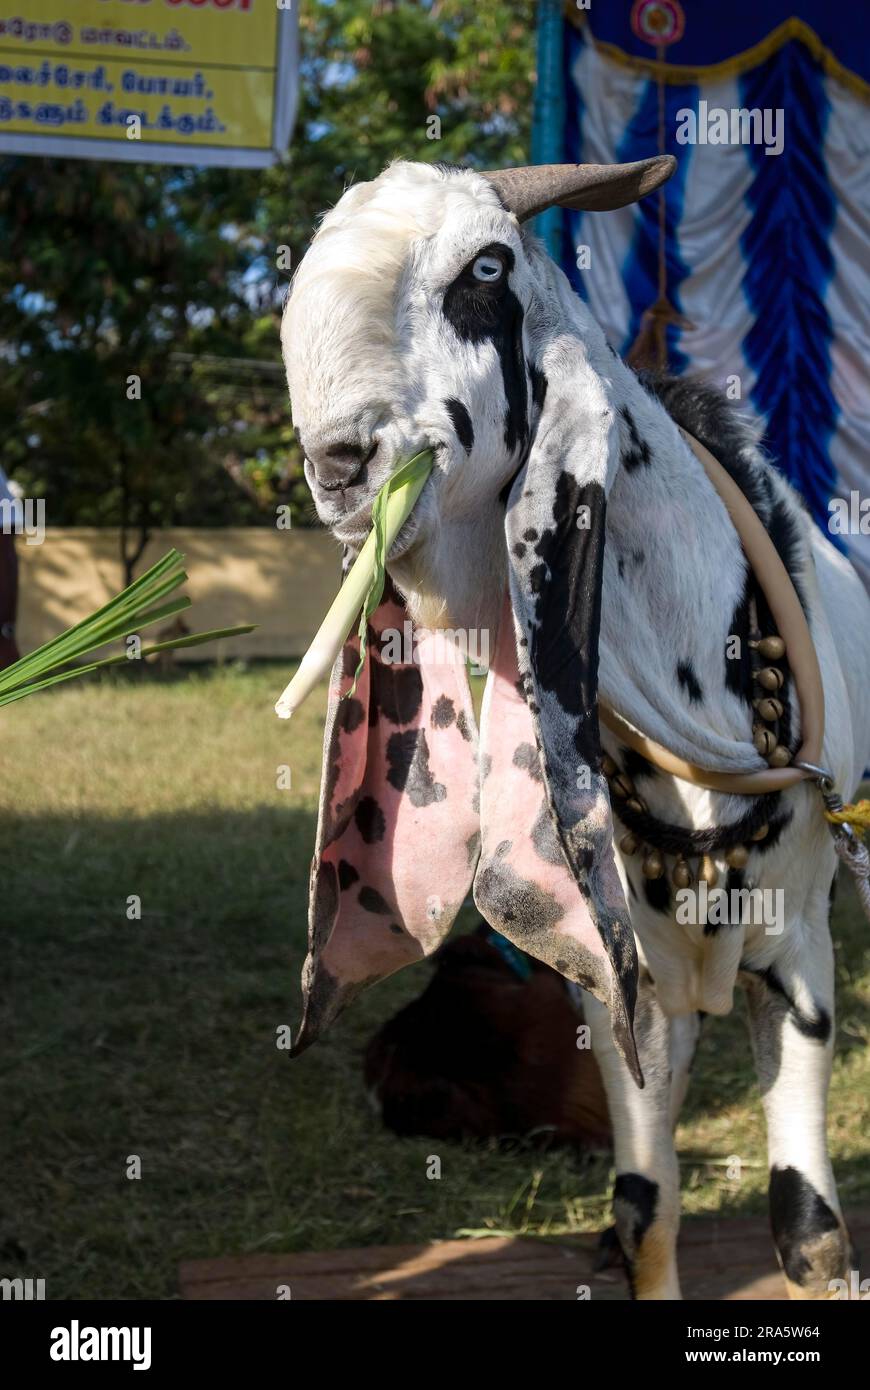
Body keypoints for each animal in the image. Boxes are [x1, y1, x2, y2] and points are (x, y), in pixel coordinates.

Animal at [281, 158, 870, 1300]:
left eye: (486, 267)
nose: (338, 464)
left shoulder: (799, 952)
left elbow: (810, 1226)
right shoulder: (622, 988)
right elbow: (643, 1209)